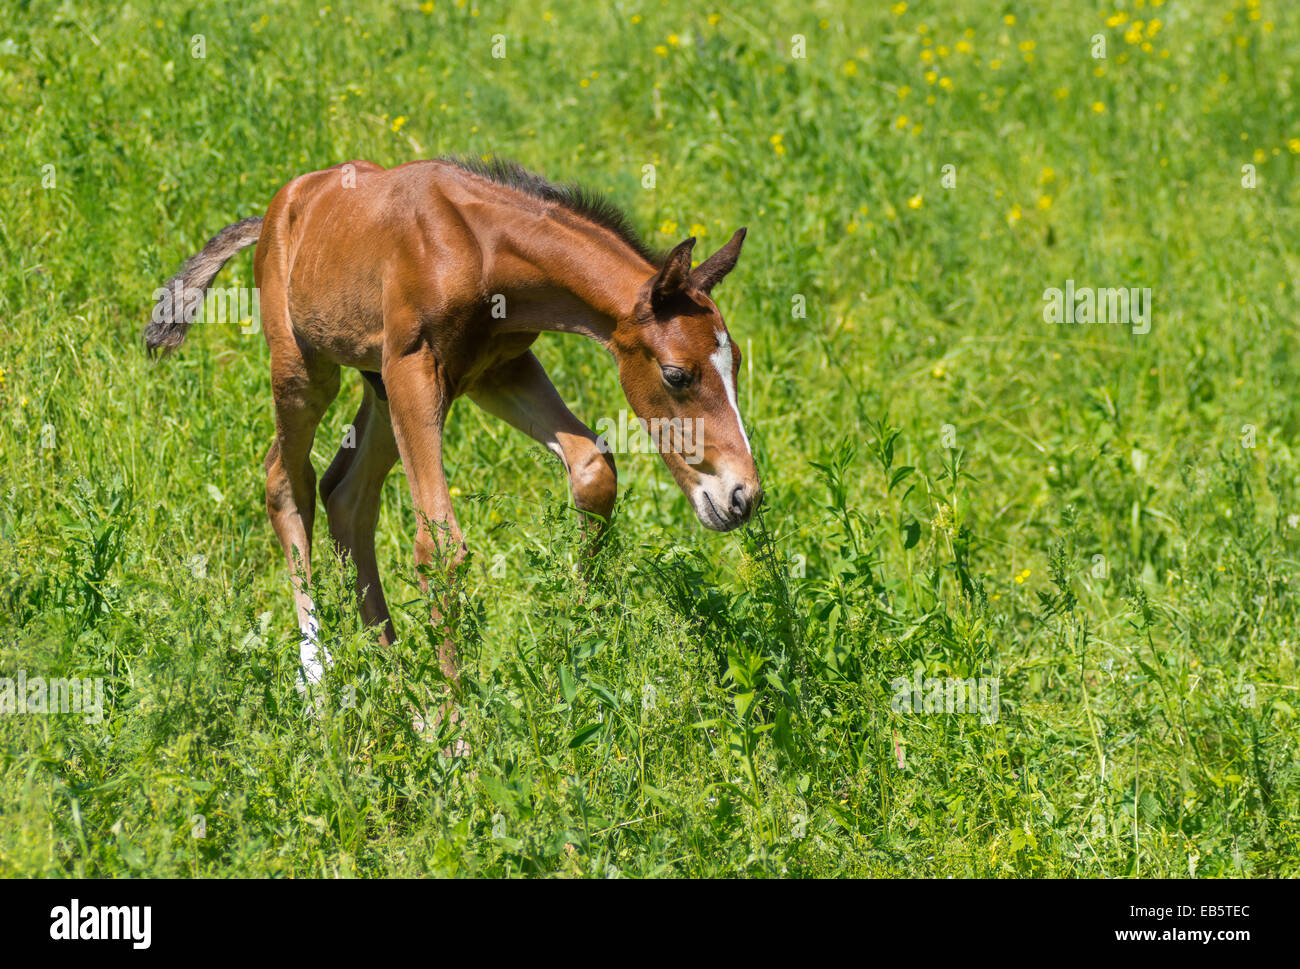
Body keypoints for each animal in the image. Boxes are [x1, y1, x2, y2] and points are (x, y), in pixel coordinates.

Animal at [145, 156, 761, 695]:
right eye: (677, 374)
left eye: (733, 364)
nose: (742, 497)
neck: (481, 249)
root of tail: (280, 208)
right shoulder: (413, 365)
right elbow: (439, 544)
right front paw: (456, 731)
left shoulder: (497, 369)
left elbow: (592, 468)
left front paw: (578, 638)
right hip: (305, 368)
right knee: (286, 480)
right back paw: (318, 676)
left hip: (379, 386)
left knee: (345, 492)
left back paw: (393, 677)